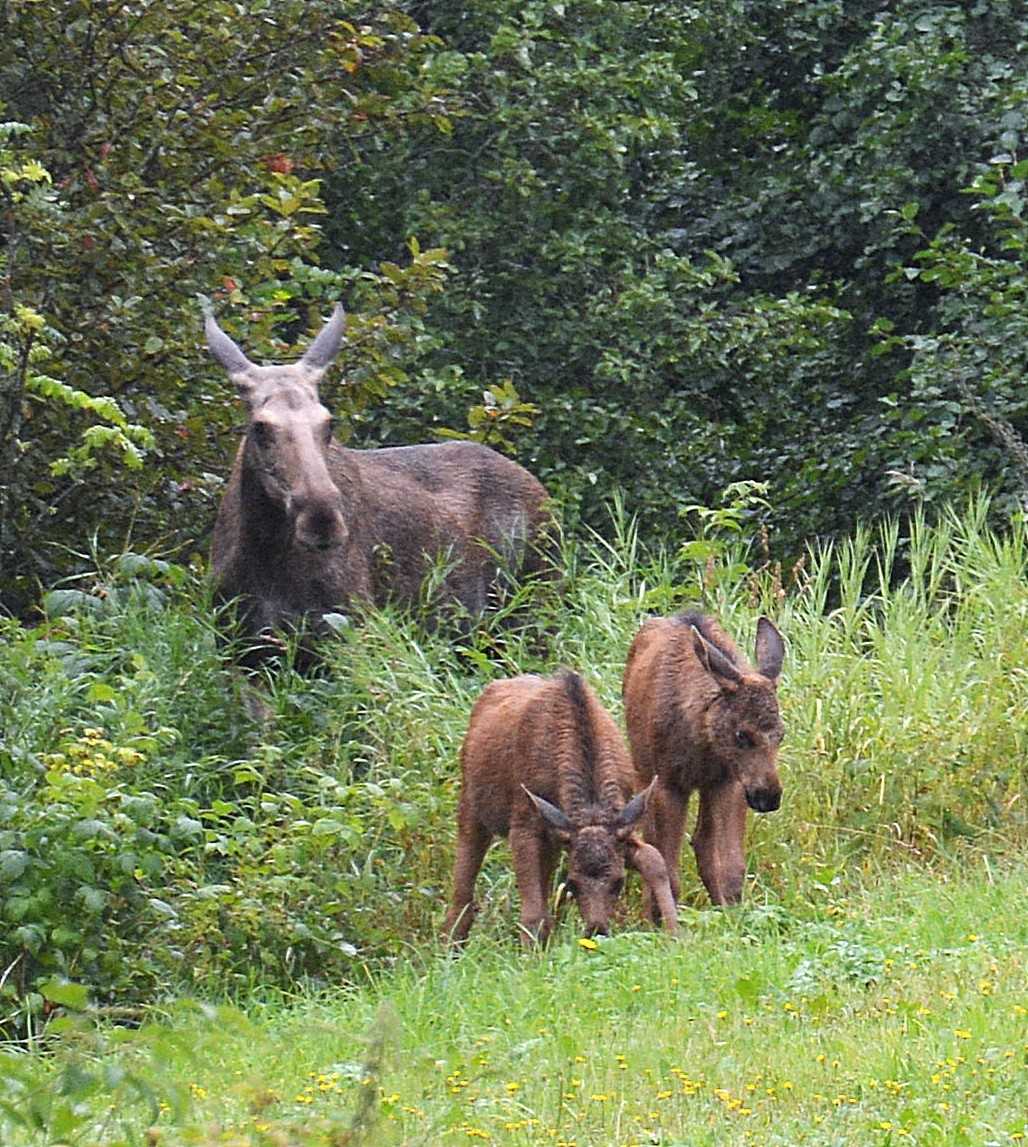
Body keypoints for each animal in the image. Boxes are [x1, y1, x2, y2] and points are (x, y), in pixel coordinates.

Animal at [205, 304, 552, 664]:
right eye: (260, 427)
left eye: (329, 423)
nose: (322, 520)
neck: (263, 553)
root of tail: (544, 495)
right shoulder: (240, 648)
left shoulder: (351, 630)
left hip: (534, 611)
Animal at [443, 669, 679, 945]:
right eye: (572, 883)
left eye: (618, 882)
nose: (597, 931)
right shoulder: (523, 824)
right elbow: (532, 914)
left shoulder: (621, 824)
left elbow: (654, 860)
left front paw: (674, 931)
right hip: (471, 803)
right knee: (465, 875)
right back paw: (451, 941)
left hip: (552, 840)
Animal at [623, 610, 785, 915]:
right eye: (742, 734)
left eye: (782, 734)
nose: (769, 797)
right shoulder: (669, 783)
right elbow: (669, 869)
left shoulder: (728, 782)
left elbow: (732, 867)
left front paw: (732, 912)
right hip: (642, 767)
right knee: (652, 841)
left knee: (702, 842)